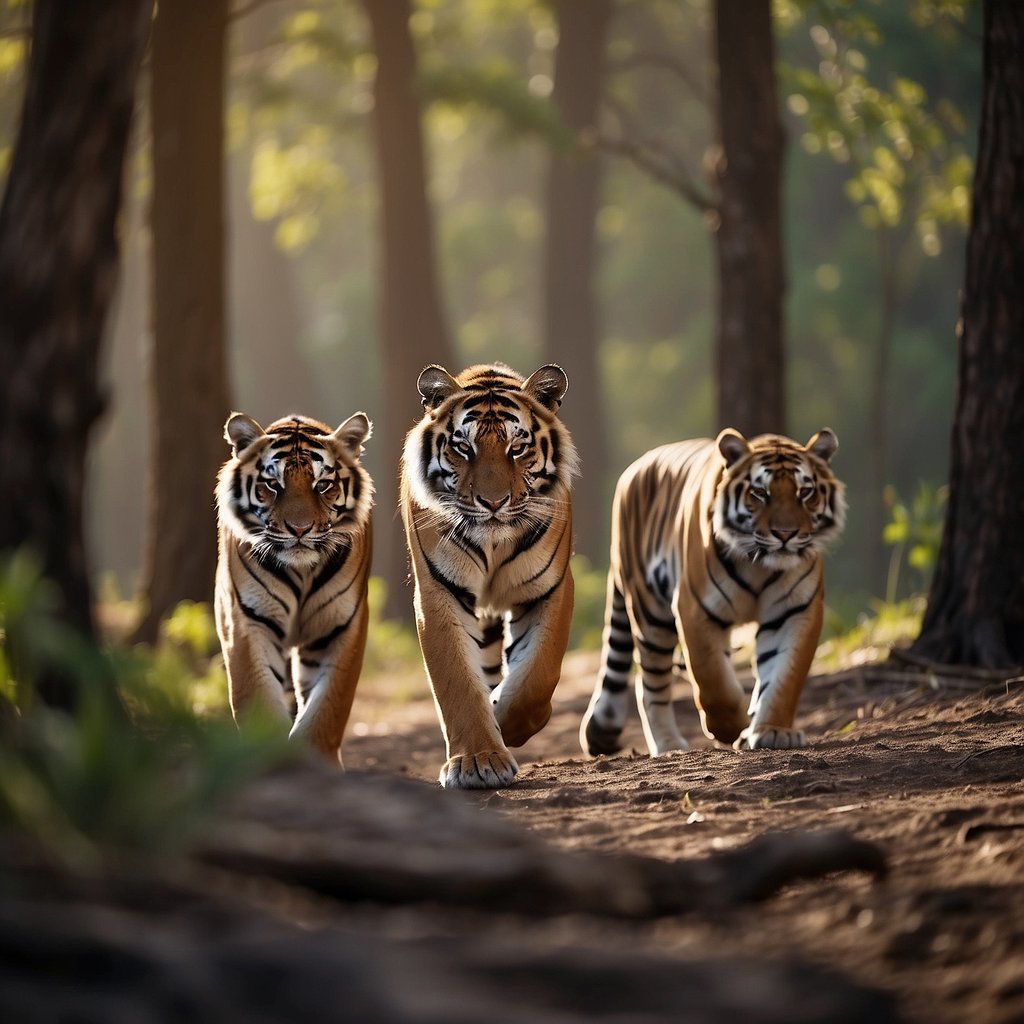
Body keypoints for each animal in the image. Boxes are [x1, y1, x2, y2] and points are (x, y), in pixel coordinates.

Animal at [215, 410, 374, 765]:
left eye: (322, 484)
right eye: (273, 485)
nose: (300, 529)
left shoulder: (340, 626)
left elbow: (327, 709)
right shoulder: (247, 621)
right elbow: (257, 698)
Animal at [401, 362, 578, 789]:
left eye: (518, 448)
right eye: (464, 448)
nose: (493, 503)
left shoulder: (549, 588)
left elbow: (537, 676)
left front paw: (503, 723)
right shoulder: (439, 593)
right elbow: (458, 682)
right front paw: (479, 761)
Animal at [580, 427, 845, 757]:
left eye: (805, 492)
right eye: (760, 493)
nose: (785, 534)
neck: (760, 566)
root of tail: (634, 468)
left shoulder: (796, 611)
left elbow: (785, 676)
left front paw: (772, 731)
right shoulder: (695, 608)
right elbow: (712, 678)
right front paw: (732, 727)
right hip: (649, 612)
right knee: (650, 684)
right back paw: (669, 745)